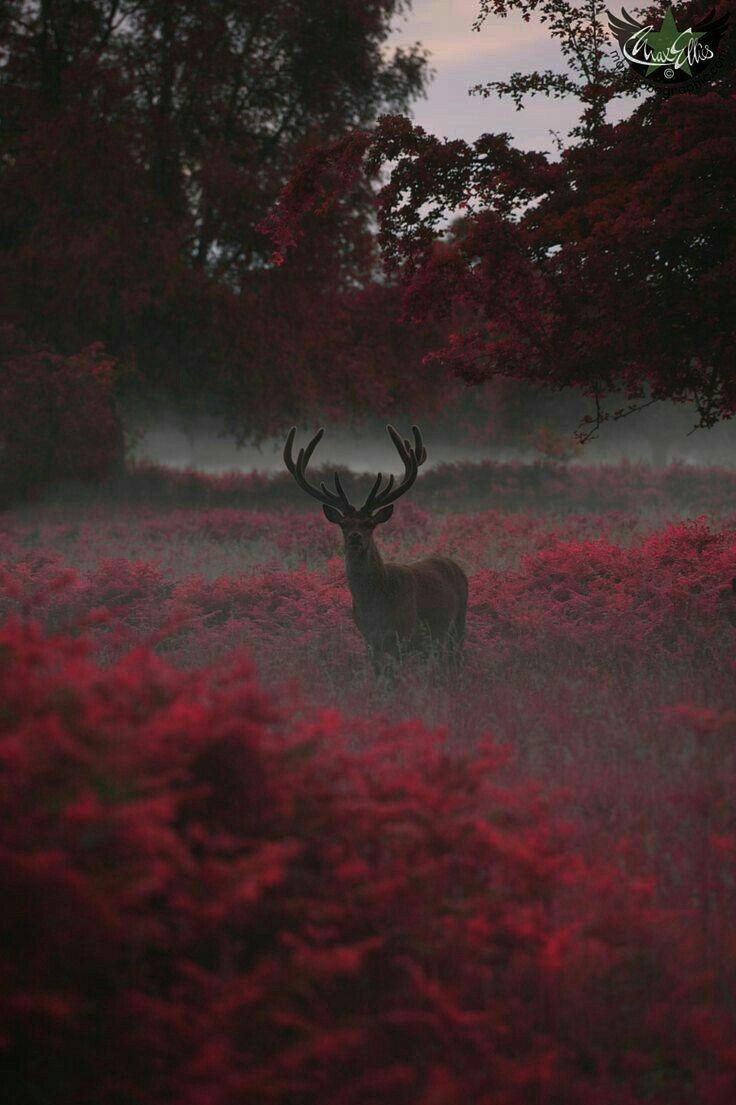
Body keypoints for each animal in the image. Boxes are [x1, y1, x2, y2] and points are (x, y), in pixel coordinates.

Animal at [284, 424, 468, 674]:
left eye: (370, 524)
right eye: (344, 524)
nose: (355, 537)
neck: (376, 605)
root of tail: (455, 565)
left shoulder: (404, 633)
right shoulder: (369, 639)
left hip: (458, 622)